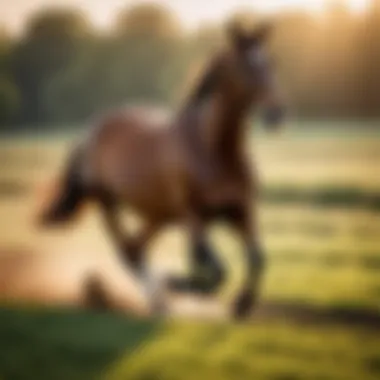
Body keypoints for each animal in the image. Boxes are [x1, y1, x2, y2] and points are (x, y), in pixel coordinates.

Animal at [40, 21, 286, 318]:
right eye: (245, 66)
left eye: (270, 63)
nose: (277, 114)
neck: (214, 151)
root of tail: (91, 131)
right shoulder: (194, 218)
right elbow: (215, 271)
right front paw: (174, 282)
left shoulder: (241, 211)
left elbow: (257, 258)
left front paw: (242, 304)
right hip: (107, 202)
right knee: (128, 250)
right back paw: (157, 296)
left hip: (158, 214)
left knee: (136, 249)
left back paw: (156, 299)